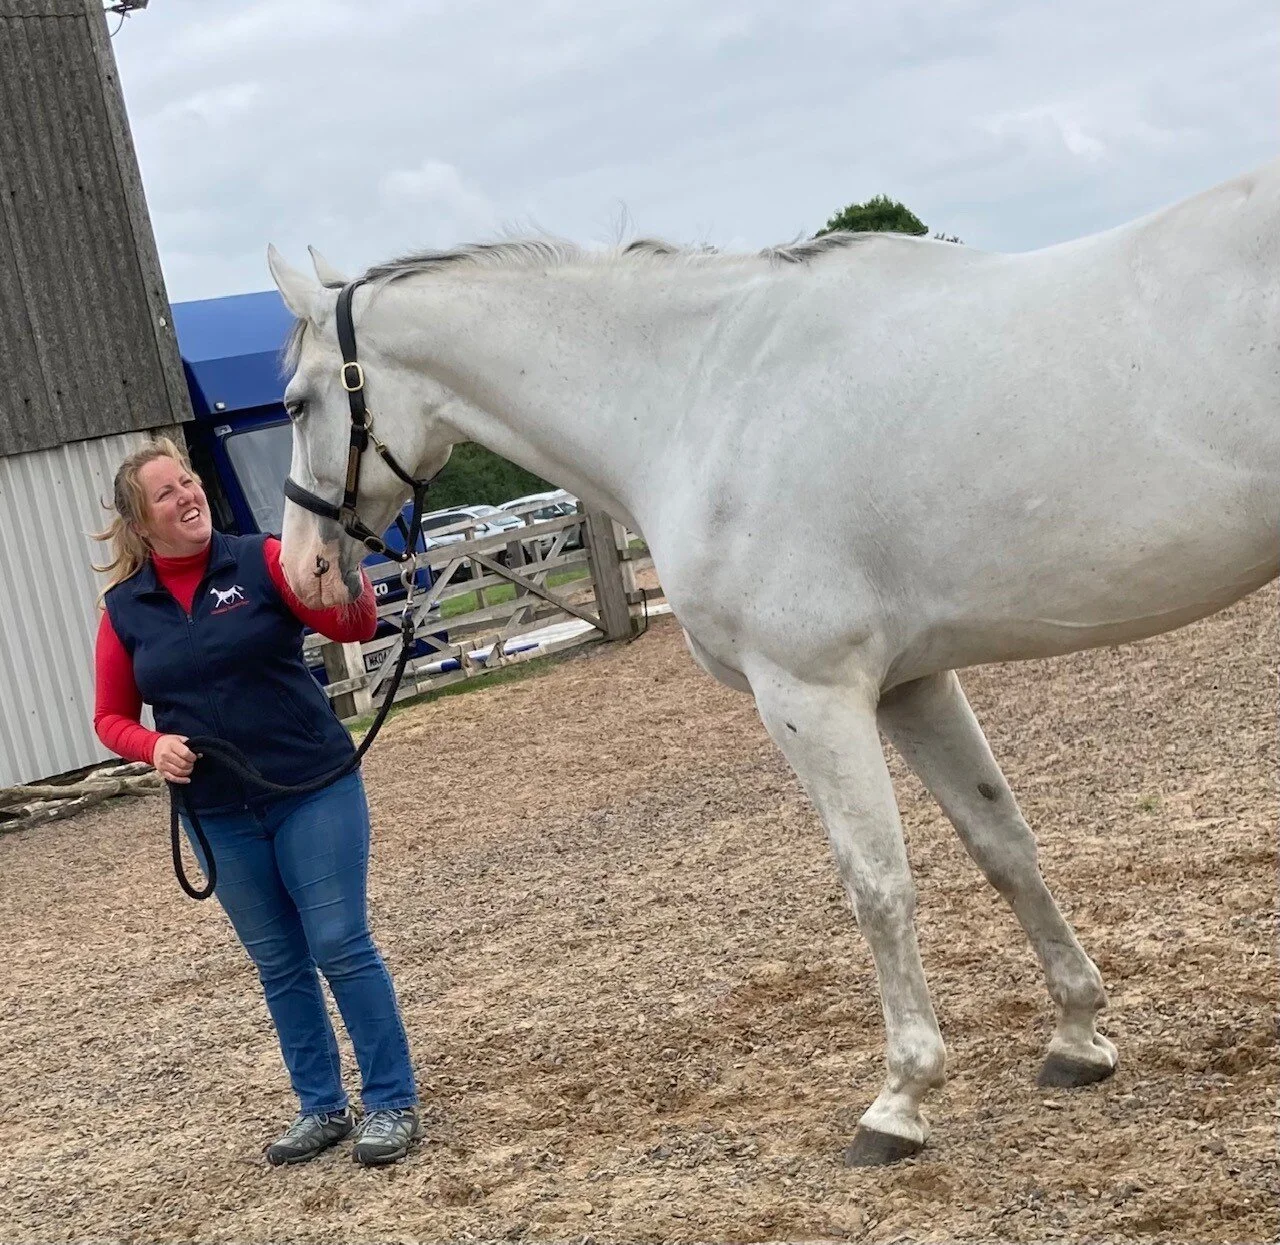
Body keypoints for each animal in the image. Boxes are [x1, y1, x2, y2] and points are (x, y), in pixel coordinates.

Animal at [267, 160, 1279, 1165]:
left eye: (294, 404)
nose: (306, 569)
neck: (695, 396)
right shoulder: (911, 684)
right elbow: (1003, 842)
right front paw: (1078, 1034)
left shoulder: (810, 693)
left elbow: (877, 885)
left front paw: (900, 1098)